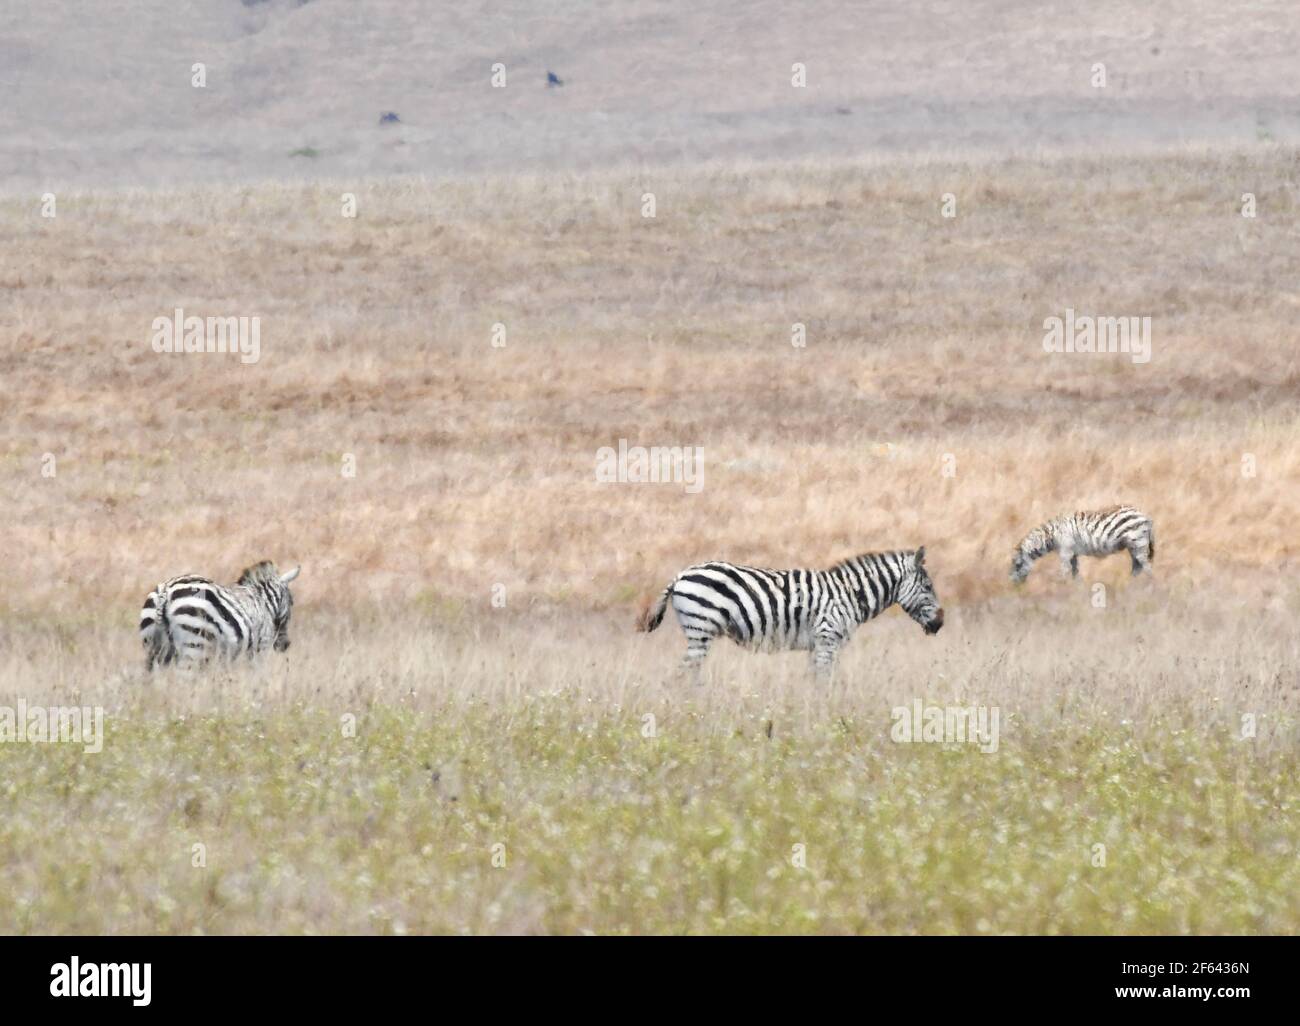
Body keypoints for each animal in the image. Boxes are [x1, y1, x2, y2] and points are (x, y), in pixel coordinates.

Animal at [140, 561, 300, 670]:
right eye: (292, 602)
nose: (285, 645)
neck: (263, 602)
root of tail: (165, 592)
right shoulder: (259, 648)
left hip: (153, 647)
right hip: (193, 646)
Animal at [637, 547, 943, 680]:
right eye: (928, 587)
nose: (940, 623)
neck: (850, 594)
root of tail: (680, 575)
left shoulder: (817, 645)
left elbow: (813, 680)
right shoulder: (828, 640)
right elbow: (824, 682)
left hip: (698, 632)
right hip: (700, 630)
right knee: (684, 673)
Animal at [1010, 505, 1154, 583]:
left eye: (1017, 565)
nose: (1014, 586)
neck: (1052, 534)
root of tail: (1145, 517)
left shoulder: (1065, 550)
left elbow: (1065, 570)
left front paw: (1060, 587)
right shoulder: (1072, 553)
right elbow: (1075, 572)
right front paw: (1077, 589)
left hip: (1138, 542)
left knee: (1146, 566)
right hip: (1132, 546)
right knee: (1137, 566)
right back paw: (1130, 583)